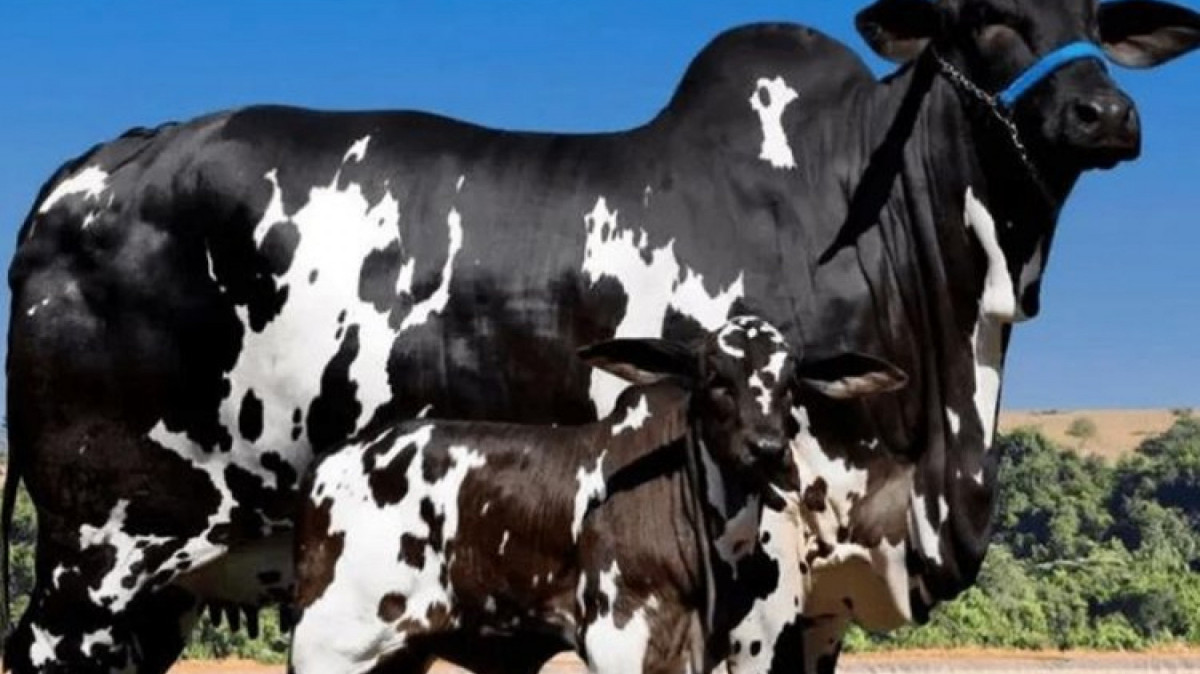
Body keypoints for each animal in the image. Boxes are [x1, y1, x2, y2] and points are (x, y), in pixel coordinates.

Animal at [290, 316, 906, 673]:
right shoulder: (618, 635)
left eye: (791, 382)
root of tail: (330, 464)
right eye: (714, 377)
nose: (768, 448)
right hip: (328, 643)